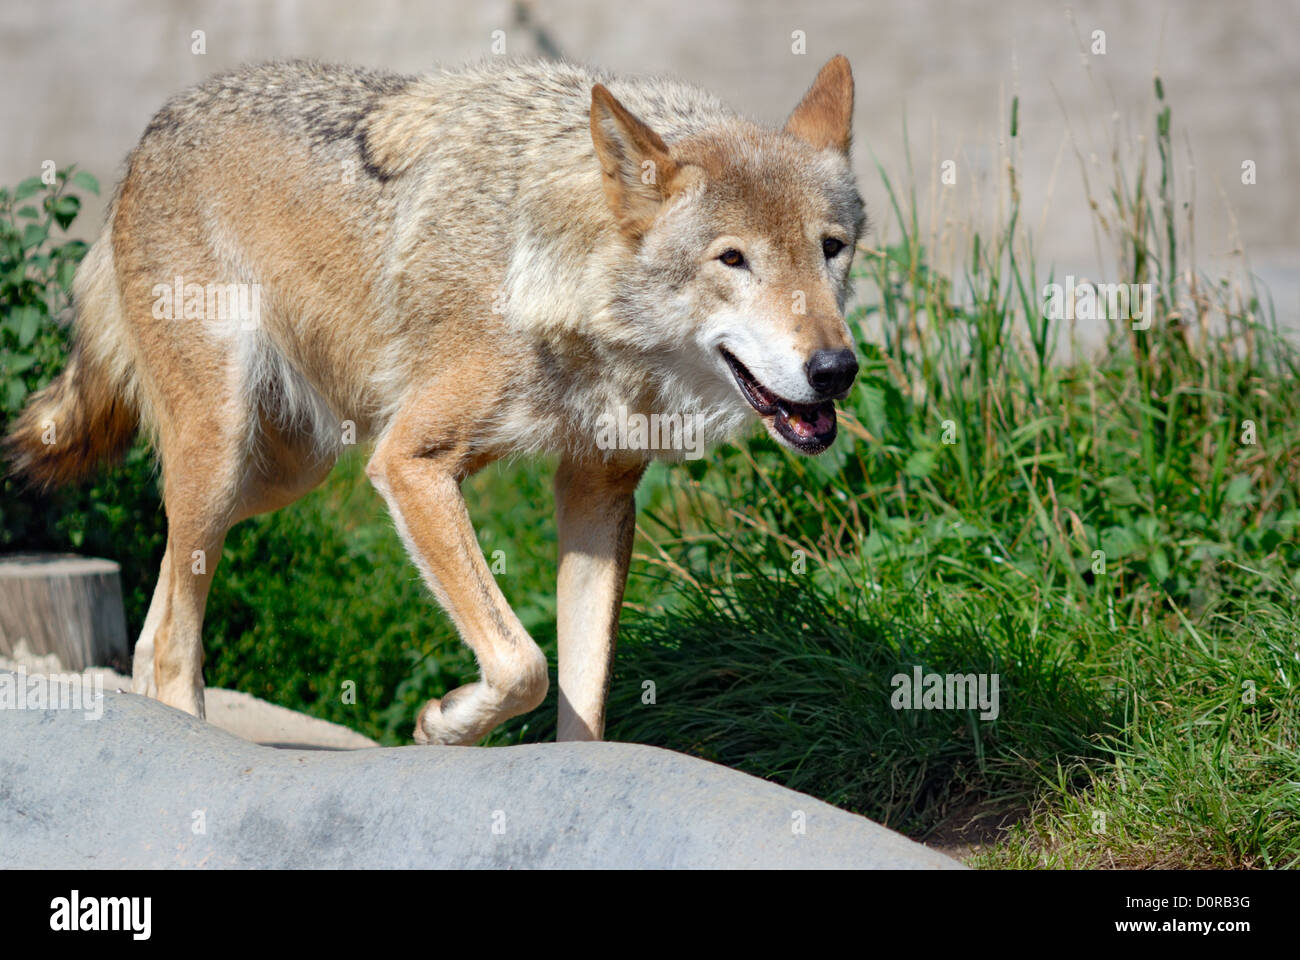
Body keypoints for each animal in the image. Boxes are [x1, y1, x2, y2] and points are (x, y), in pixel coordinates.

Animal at [6, 55, 865, 744]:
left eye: (831, 249)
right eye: (733, 260)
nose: (835, 369)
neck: (556, 276)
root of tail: (148, 135)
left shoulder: (597, 493)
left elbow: (582, 700)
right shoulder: (410, 464)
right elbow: (523, 663)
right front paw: (445, 724)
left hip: (285, 472)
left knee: (156, 620)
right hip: (224, 455)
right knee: (175, 642)